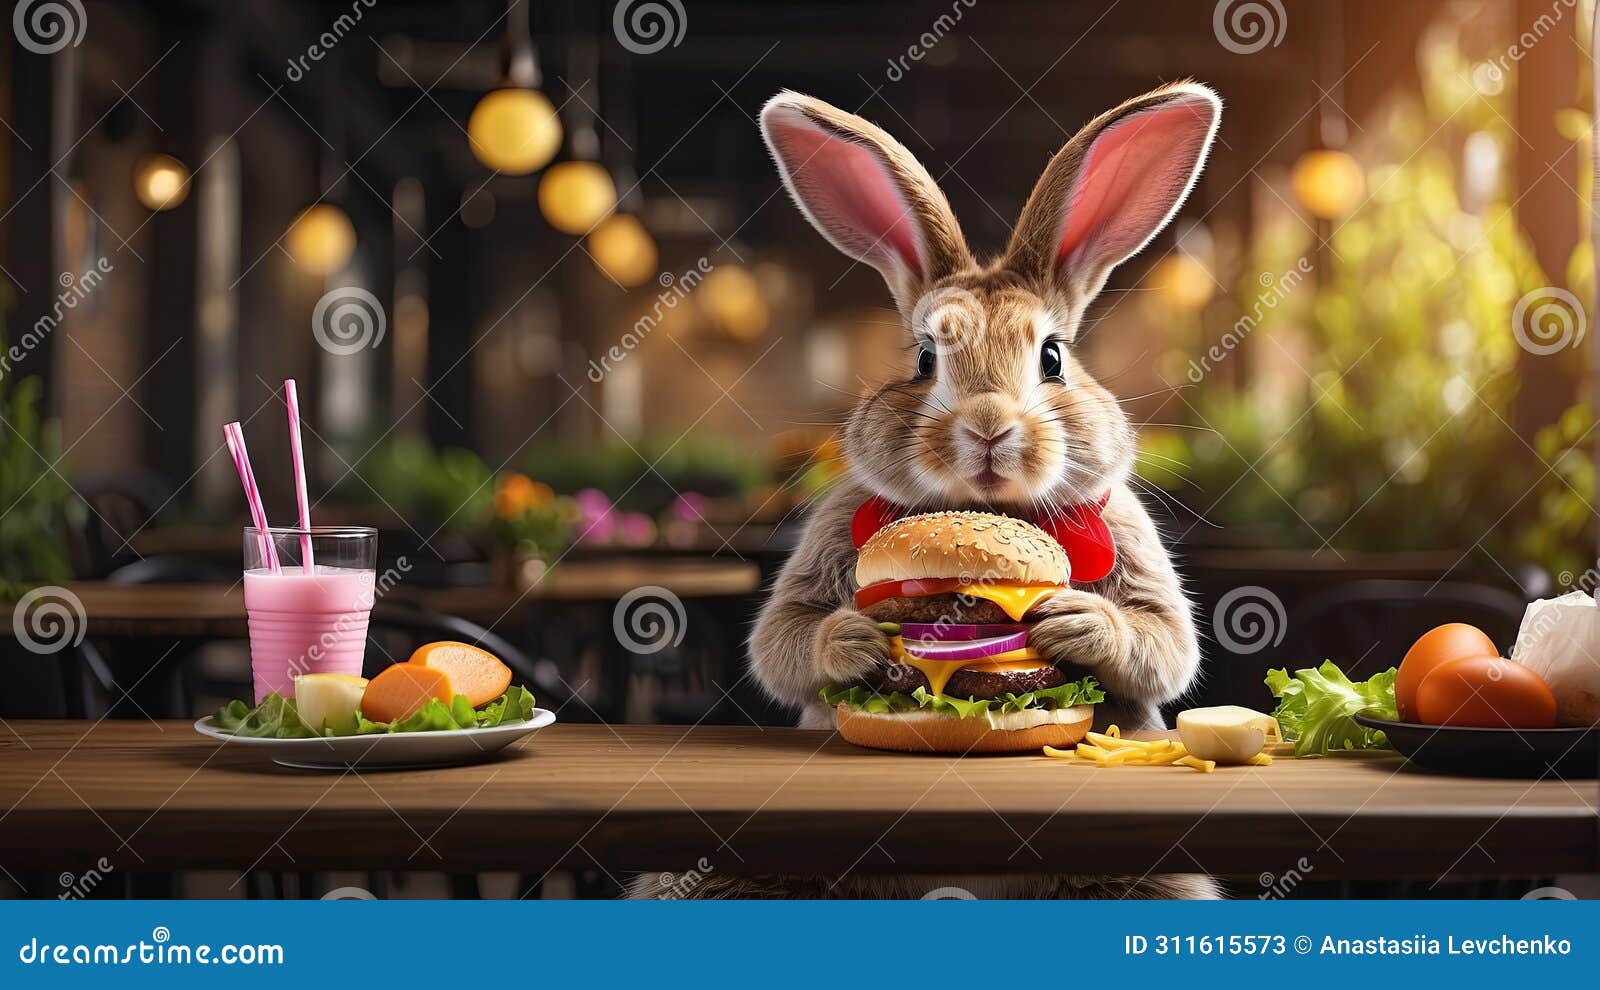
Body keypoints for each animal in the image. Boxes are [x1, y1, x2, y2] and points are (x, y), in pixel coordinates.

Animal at [630, 81, 1222, 901]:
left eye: (1052, 356)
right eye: (922, 357)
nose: (988, 427)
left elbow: (1165, 639)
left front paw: (1078, 621)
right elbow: (782, 638)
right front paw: (848, 638)